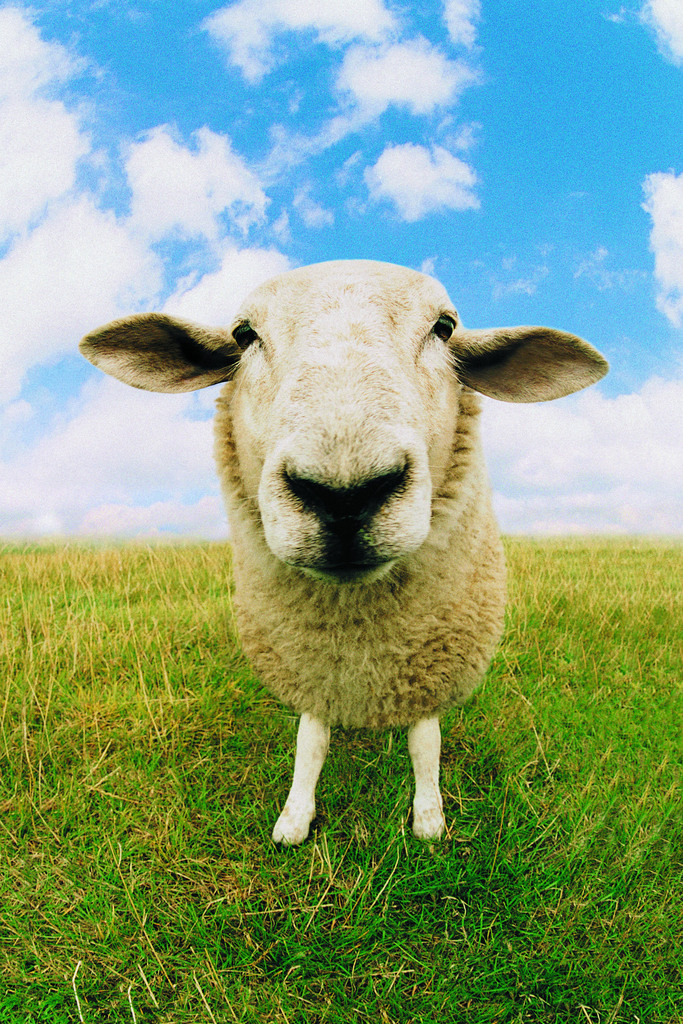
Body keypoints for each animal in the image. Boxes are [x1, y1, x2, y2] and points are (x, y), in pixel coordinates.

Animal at [80, 259, 608, 845]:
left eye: (444, 328)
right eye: (243, 335)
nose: (345, 495)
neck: (361, 633)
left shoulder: (431, 658)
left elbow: (424, 741)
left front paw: (428, 818)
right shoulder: (311, 666)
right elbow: (311, 742)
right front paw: (294, 817)